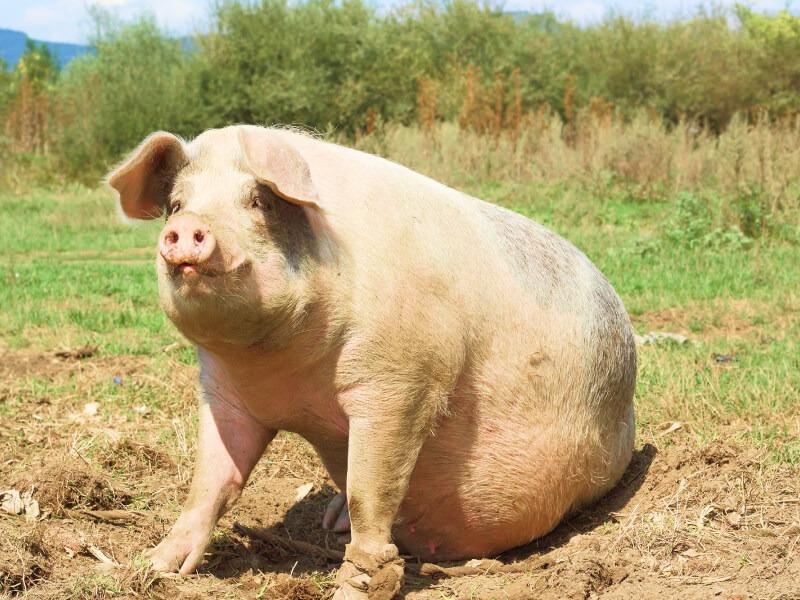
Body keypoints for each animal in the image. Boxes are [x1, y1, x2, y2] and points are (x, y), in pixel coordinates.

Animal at [106, 125, 636, 599]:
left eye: (259, 201)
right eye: (177, 204)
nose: (184, 227)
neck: (284, 372)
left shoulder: (403, 381)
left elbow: (370, 490)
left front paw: (354, 589)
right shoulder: (224, 393)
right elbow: (210, 482)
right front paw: (153, 568)